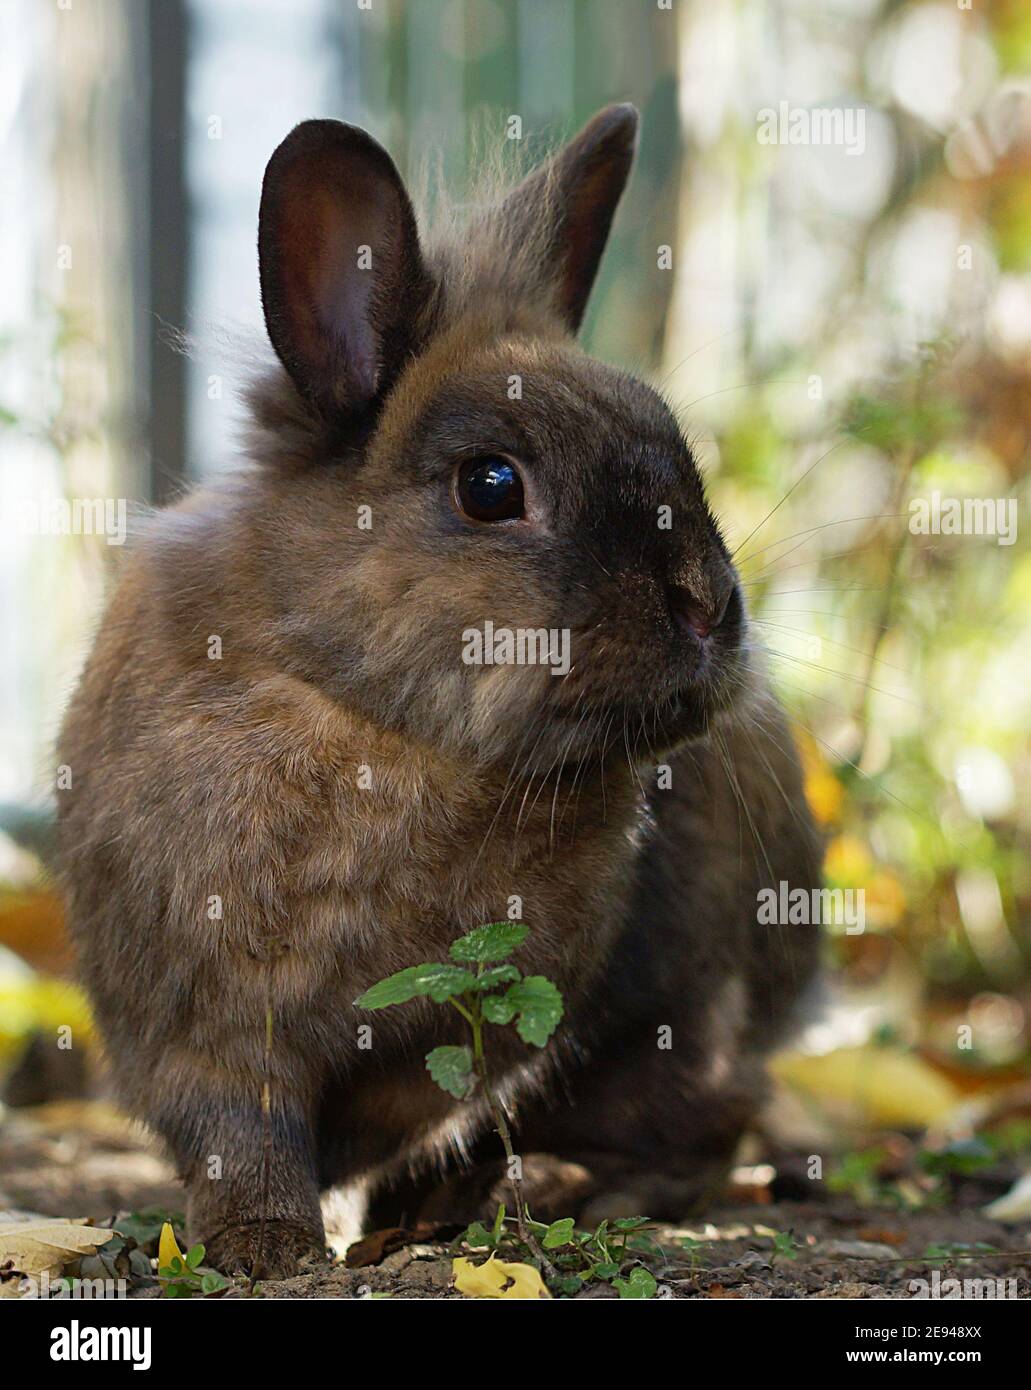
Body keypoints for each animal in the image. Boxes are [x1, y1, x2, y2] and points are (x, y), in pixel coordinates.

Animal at [56, 104, 822, 1278]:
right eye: (490, 485)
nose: (708, 606)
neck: (373, 727)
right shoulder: (200, 1030)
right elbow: (240, 1138)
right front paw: (270, 1247)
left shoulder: (458, 1030)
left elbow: (405, 1109)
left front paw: (369, 1221)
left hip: (691, 1017)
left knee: (709, 1119)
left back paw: (554, 1188)